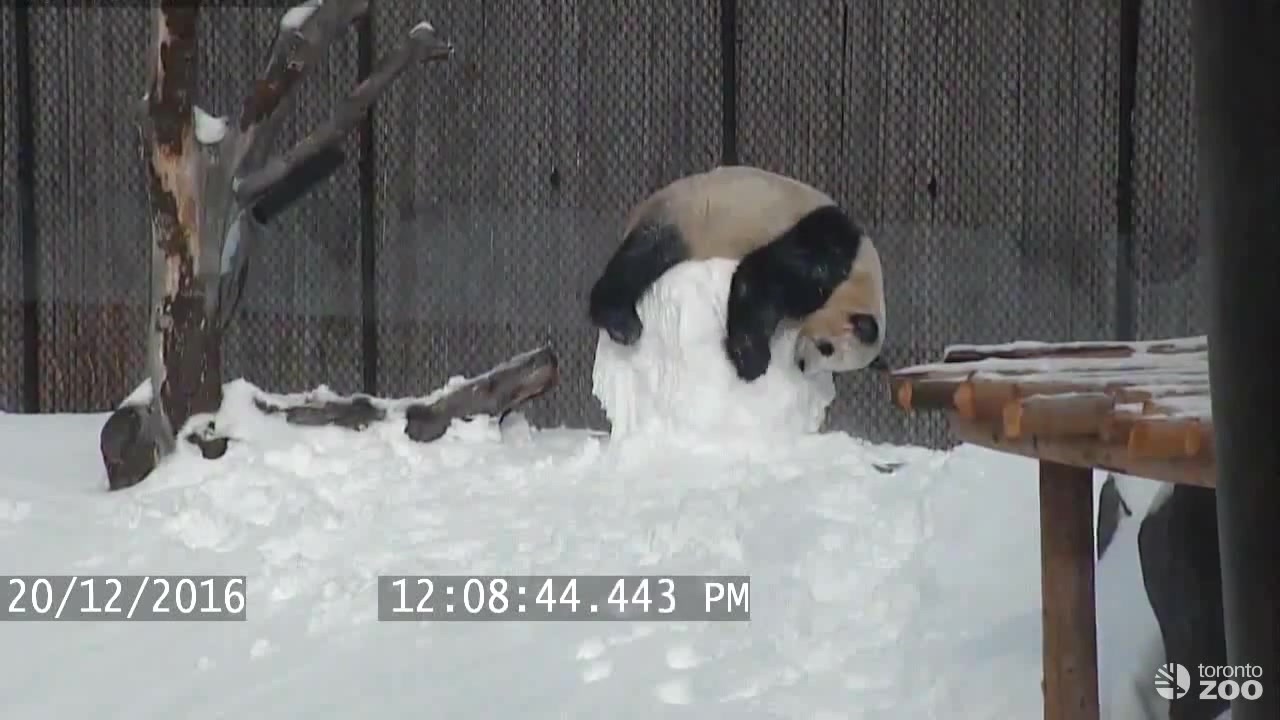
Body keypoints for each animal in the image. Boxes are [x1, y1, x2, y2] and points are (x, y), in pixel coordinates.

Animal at [587, 165, 886, 382]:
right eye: (827, 348)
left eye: (833, 365)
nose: (802, 365)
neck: (860, 277)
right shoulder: (828, 246)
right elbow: (766, 278)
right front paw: (752, 360)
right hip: (686, 216)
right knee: (644, 256)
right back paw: (621, 322)